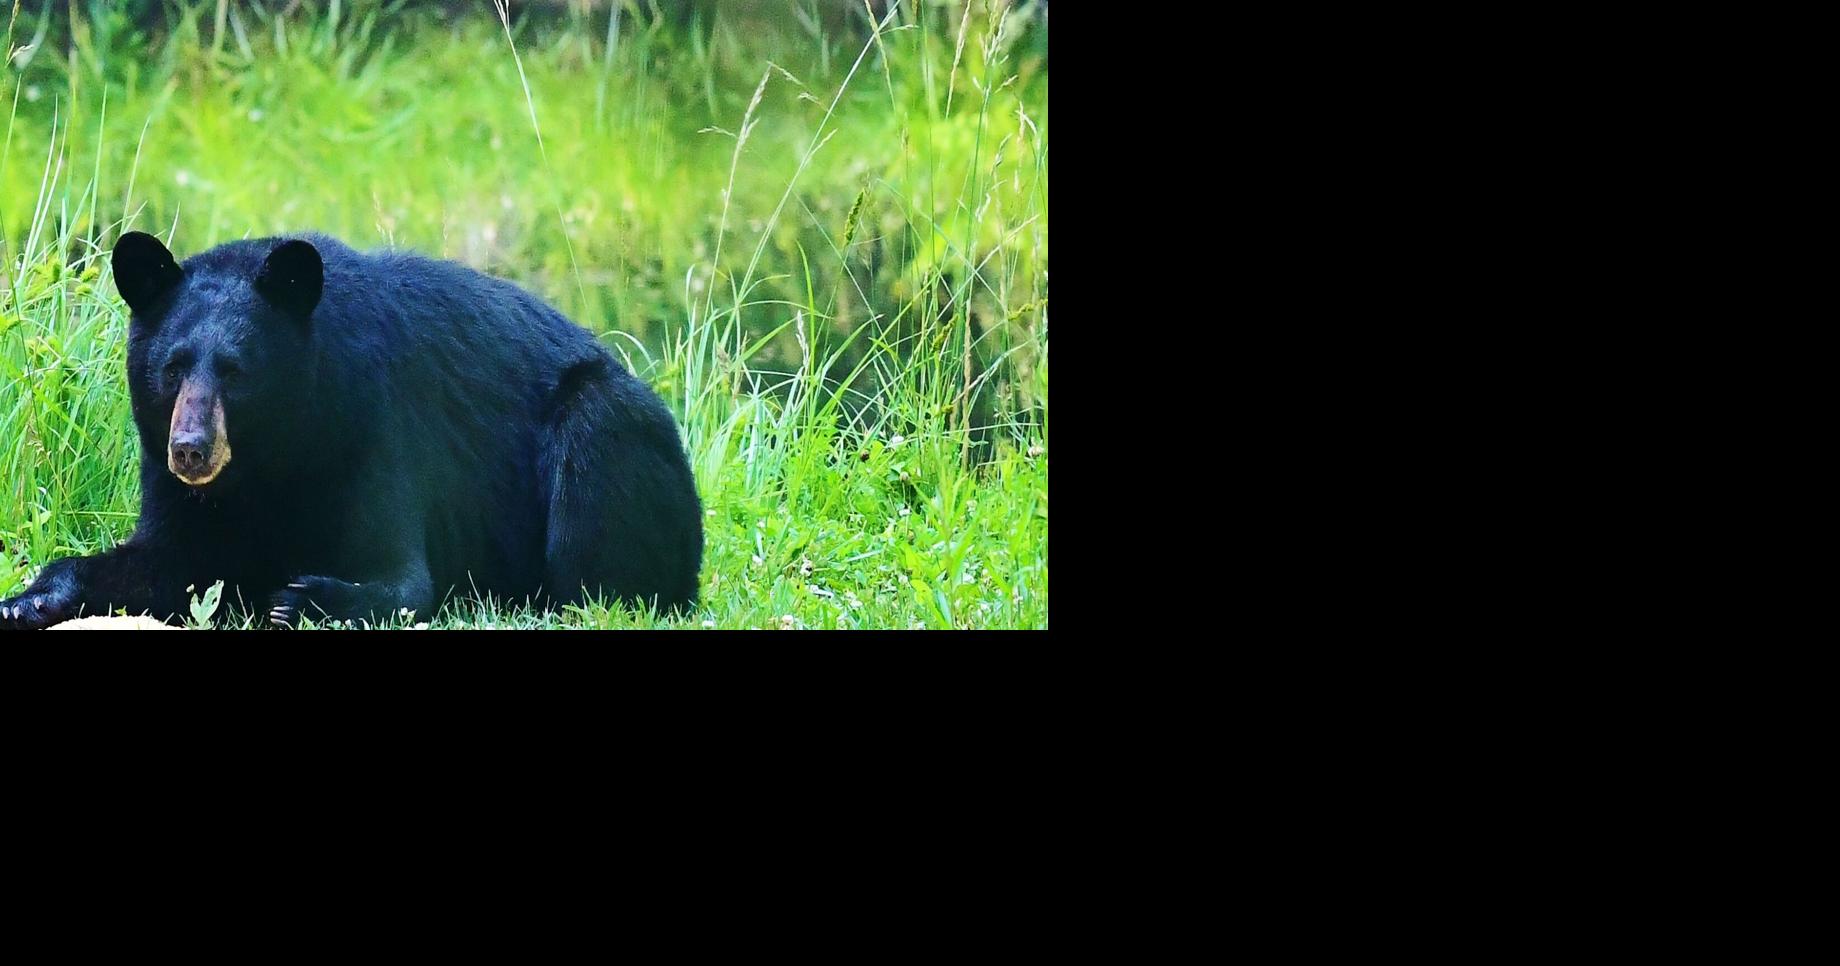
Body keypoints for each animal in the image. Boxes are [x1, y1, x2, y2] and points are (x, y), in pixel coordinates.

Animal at [0, 231, 703, 629]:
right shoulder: (173, 479)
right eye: (172, 369)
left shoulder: (373, 423)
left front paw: (298, 598)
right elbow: (169, 559)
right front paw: (30, 599)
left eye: (236, 371)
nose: (191, 452)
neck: (271, 455)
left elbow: (400, 578)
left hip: (615, 429)